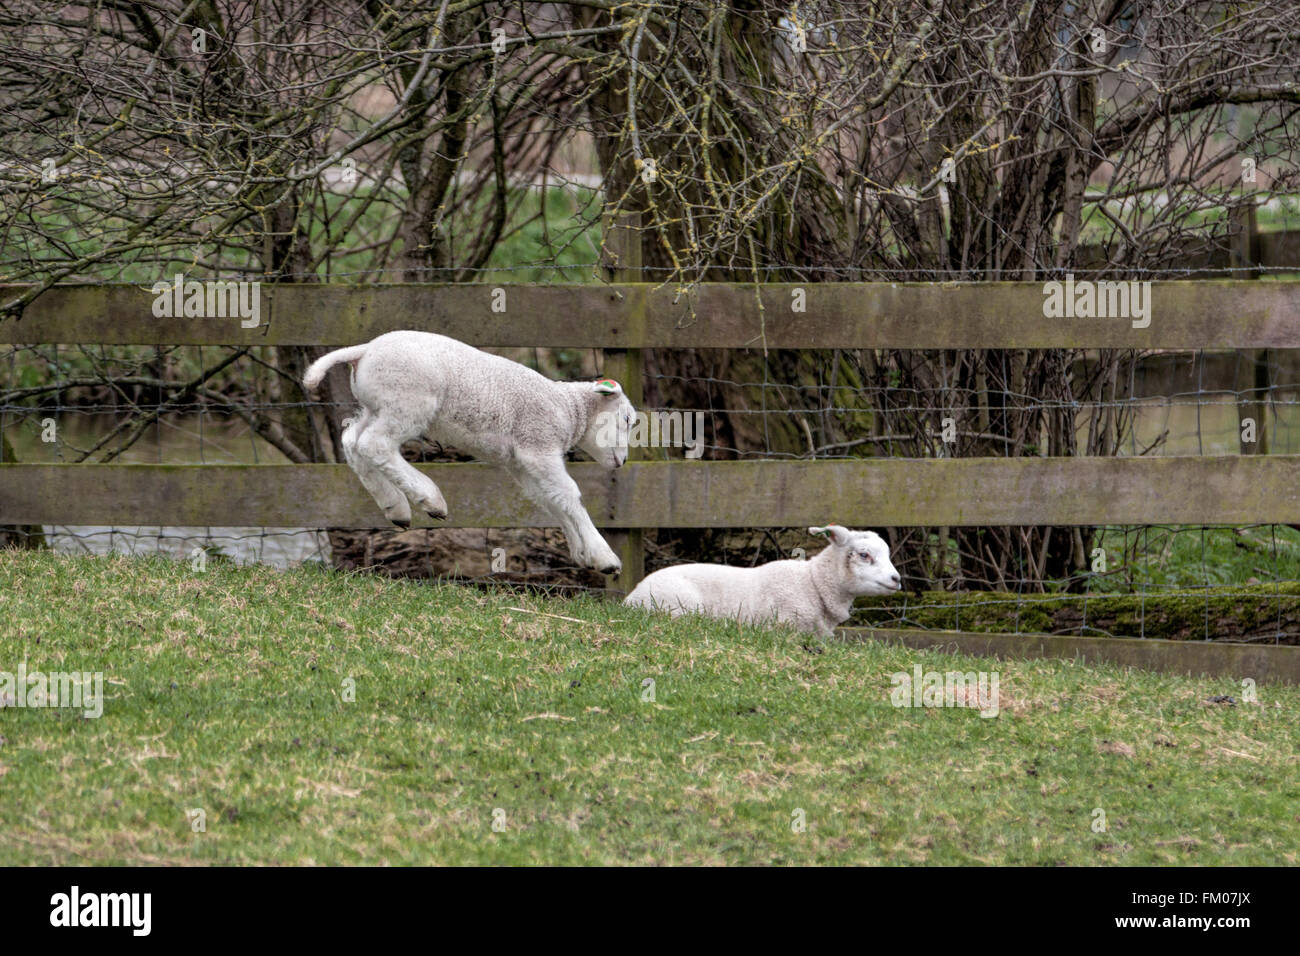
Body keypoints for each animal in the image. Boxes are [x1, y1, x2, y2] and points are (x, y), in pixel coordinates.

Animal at [303, 330, 637, 574]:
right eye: (627, 419)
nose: (622, 461)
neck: (569, 409)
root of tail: (365, 350)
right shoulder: (538, 446)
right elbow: (570, 494)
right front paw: (604, 556)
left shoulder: (522, 464)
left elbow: (552, 500)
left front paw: (582, 552)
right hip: (408, 402)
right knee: (375, 444)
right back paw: (429, 498)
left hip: (379, 405)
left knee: (352, 440)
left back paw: (394, 506)